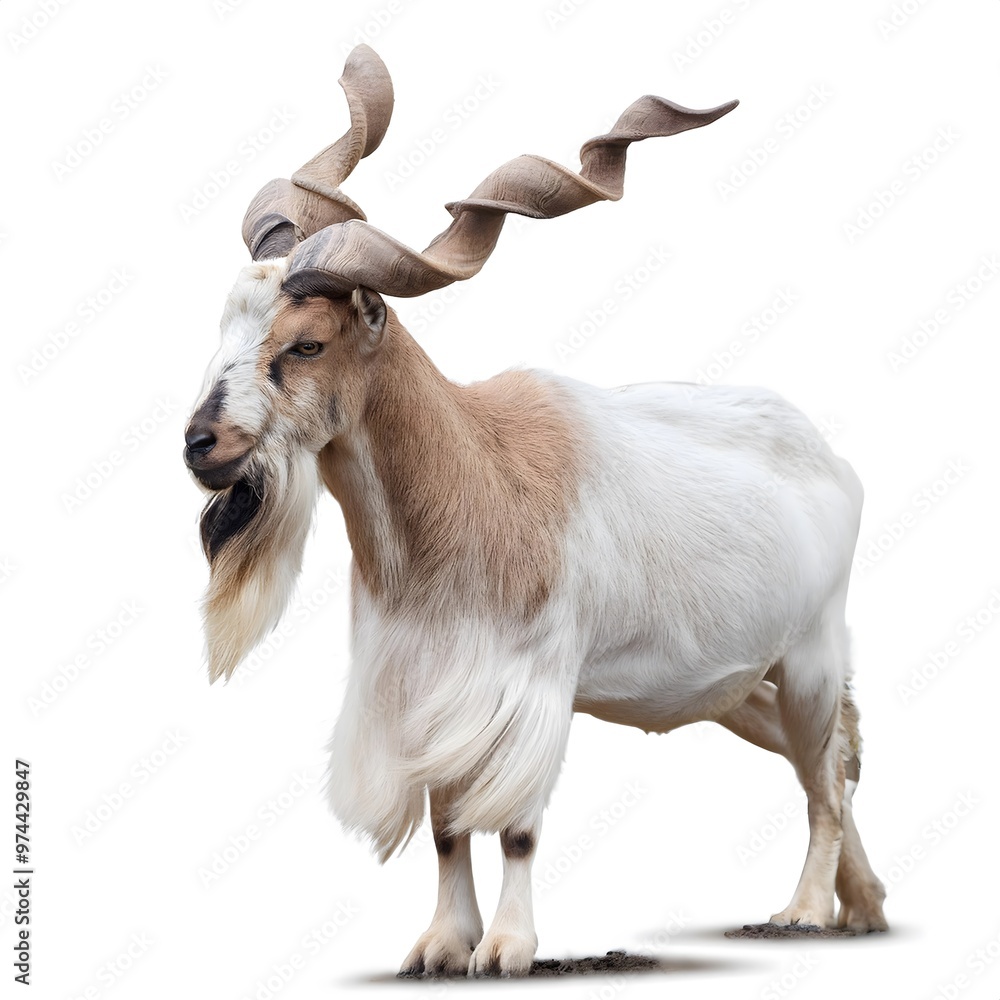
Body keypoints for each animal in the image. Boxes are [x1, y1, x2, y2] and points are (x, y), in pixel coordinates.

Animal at [184, 45, 887, 977]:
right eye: (224, 330)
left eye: (307, 343)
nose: (201, 444)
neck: (471, 483)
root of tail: (834, 463)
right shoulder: (425, 690)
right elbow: (447, 828)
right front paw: (440, 947)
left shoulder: (533, 687)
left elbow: (514, 828)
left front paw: (508, 948)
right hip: (740, 686)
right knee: (835, 760)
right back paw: (866, 904)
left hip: (811, 653)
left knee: (825, 776)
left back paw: (806, 911)